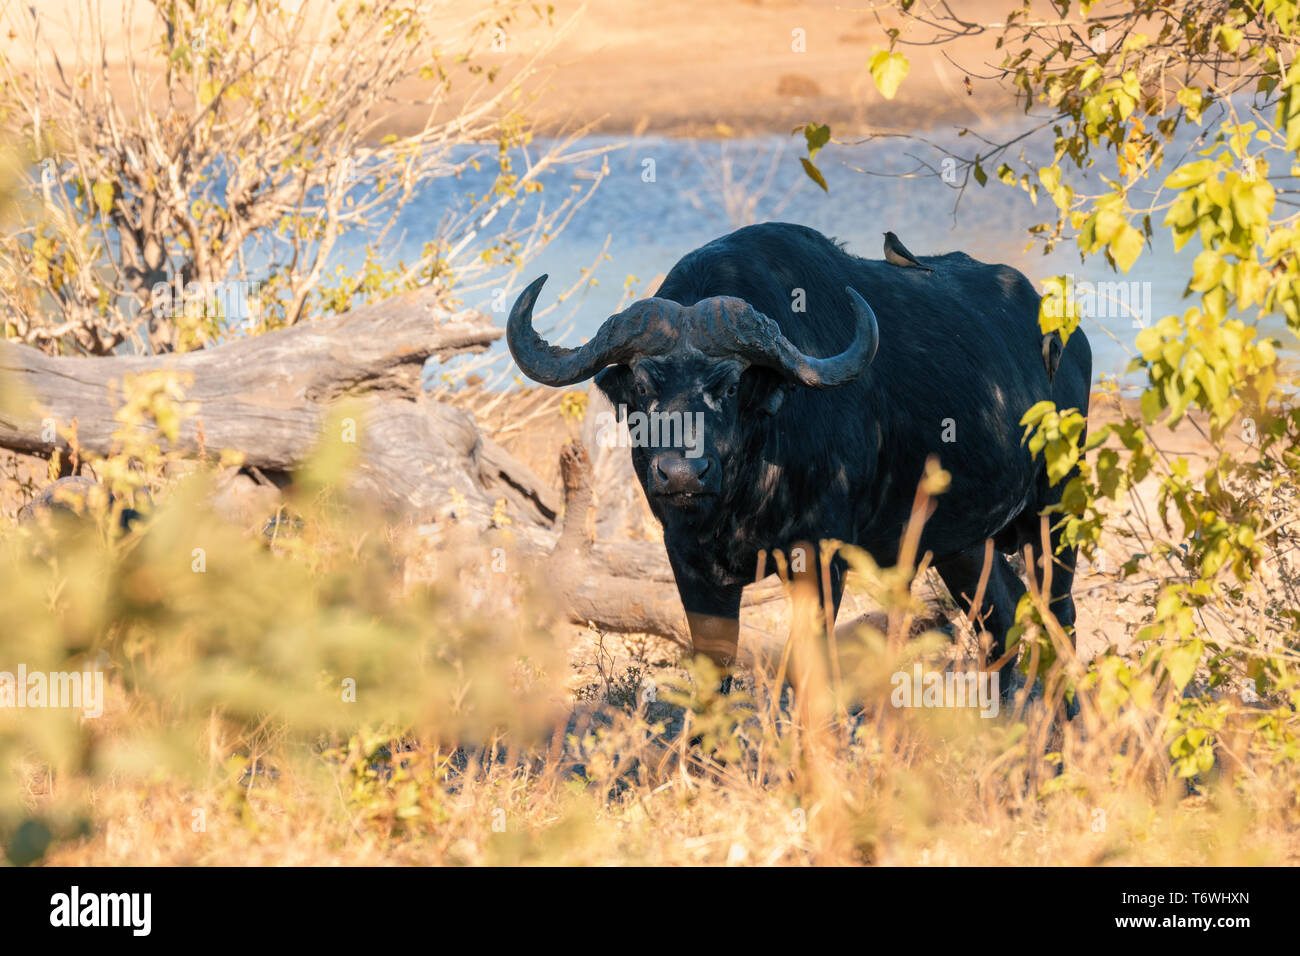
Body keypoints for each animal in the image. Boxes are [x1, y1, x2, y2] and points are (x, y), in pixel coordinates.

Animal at [507, 222, 1091, 700]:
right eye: (644, 387)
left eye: (729, 385)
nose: (682, 474)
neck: (745, 492)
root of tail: (1067, 337)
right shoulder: (689, 561)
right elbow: (713, 671)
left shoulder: (819, 557)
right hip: (964, 544)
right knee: (1003, 620)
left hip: (1055, 516)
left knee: (1060, 615)